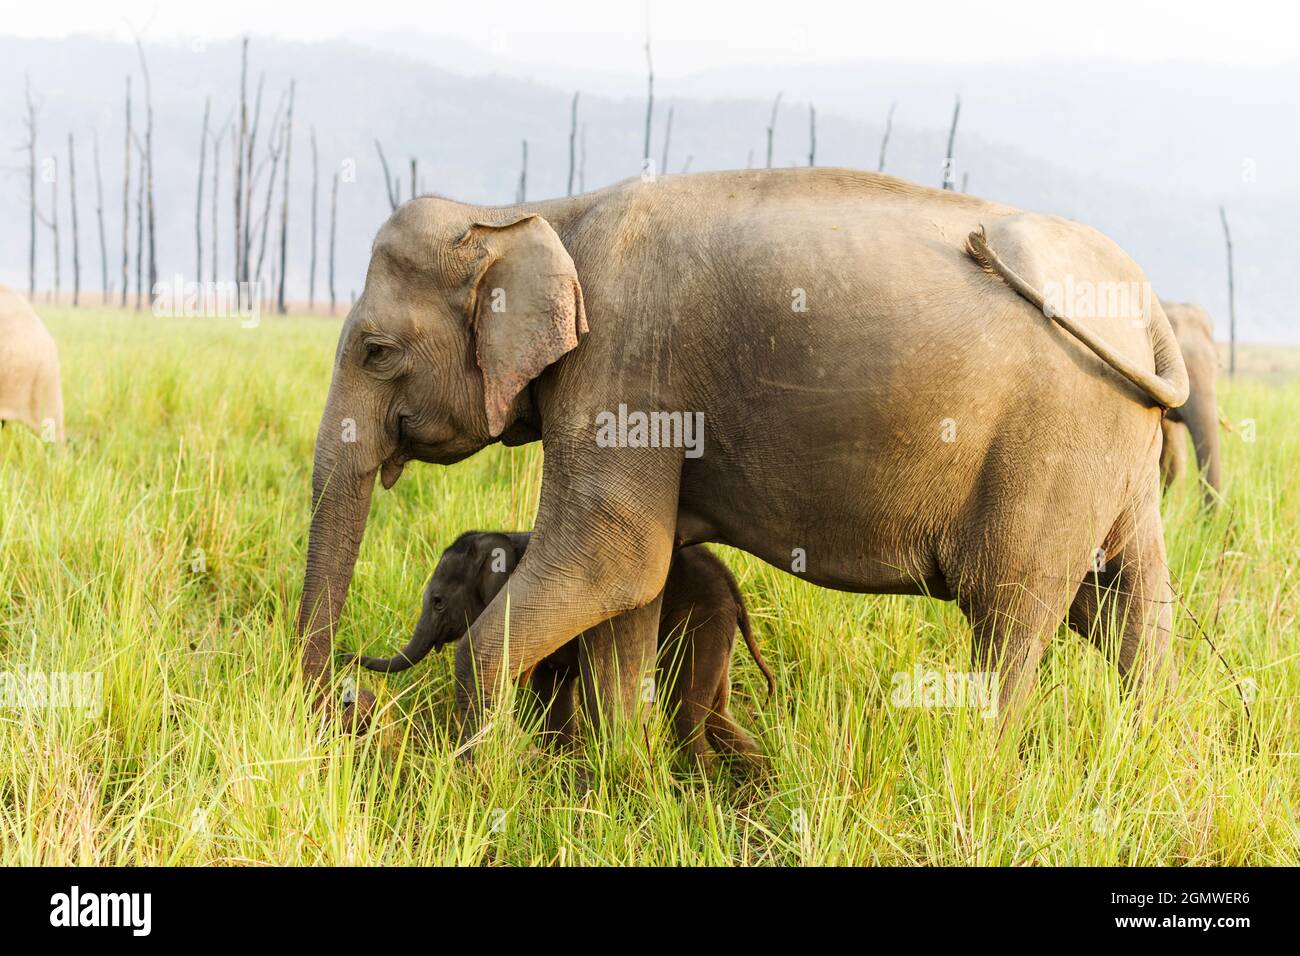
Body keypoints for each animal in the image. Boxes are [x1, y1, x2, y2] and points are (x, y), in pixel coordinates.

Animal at [354, 532, 774, 764]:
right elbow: (549, 684)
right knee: (714, 712)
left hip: (698, 617)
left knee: (685, 708)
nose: (350, 657)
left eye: (439, 602)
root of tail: (731, 584)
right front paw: (560, 760)